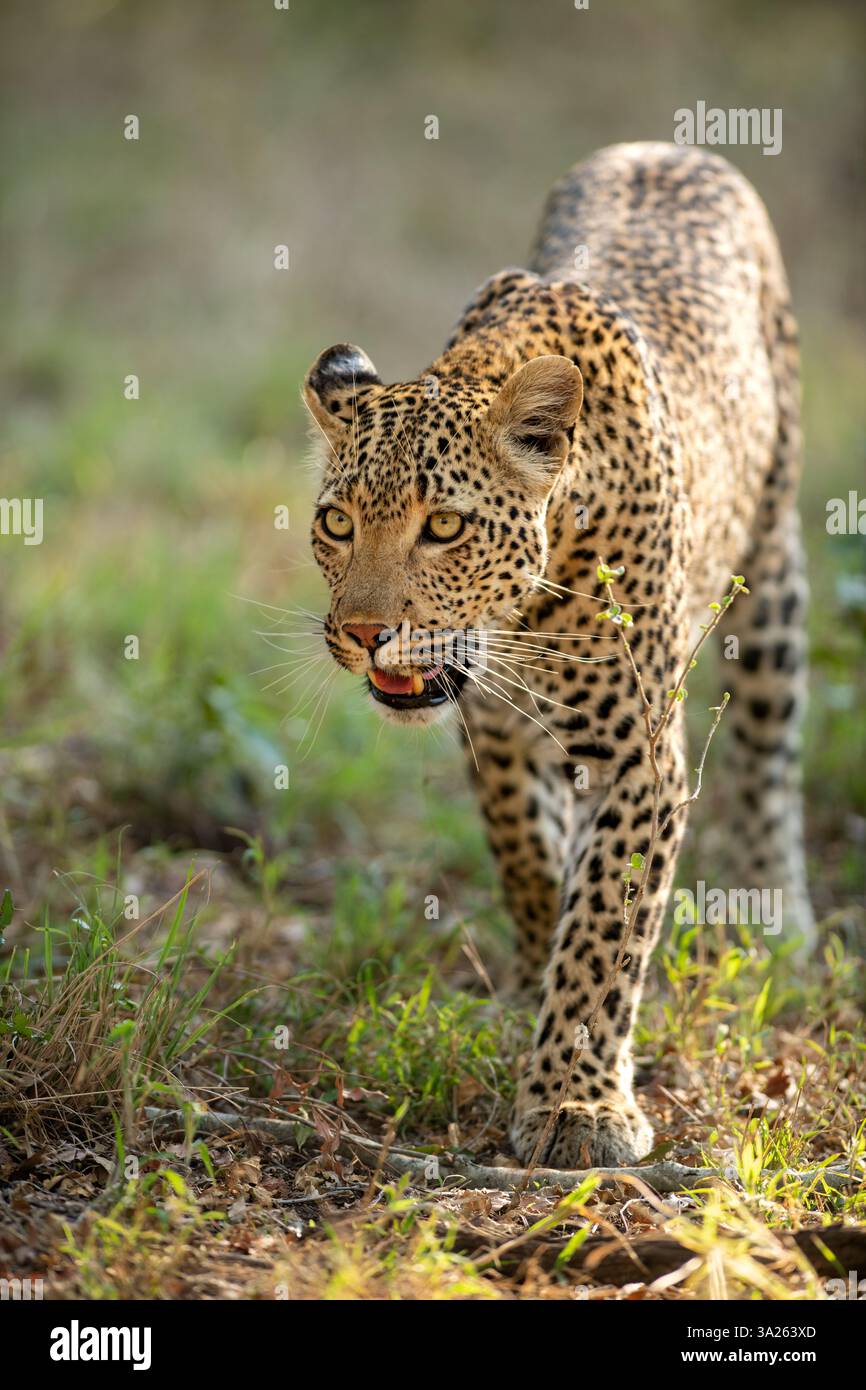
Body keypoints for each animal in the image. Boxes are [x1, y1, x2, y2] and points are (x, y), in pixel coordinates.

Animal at [302, 142, 814, 1169]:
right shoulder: (492, 729)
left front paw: (578, 1105)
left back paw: (775, 913)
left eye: (444, 527)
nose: (365, 633)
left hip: (773, 561)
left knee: (769, 746)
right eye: (338, 523)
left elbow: (607, 924)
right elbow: (529, 857)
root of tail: (670, 146)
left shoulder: (638, 757)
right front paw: (539, 957)